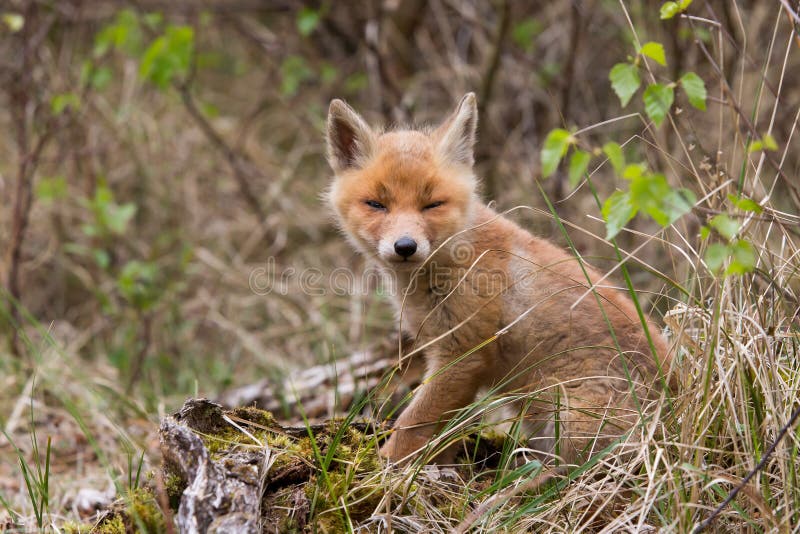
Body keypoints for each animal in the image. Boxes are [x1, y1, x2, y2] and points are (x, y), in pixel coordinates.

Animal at [325, 92, 673, 466]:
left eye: (433, 204)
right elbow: (437, 432)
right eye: (376, 204)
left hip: (570, 418)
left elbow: (412, 423)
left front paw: (383, 470)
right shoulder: (445, 353)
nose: (405, 246)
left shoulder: (464, 354)